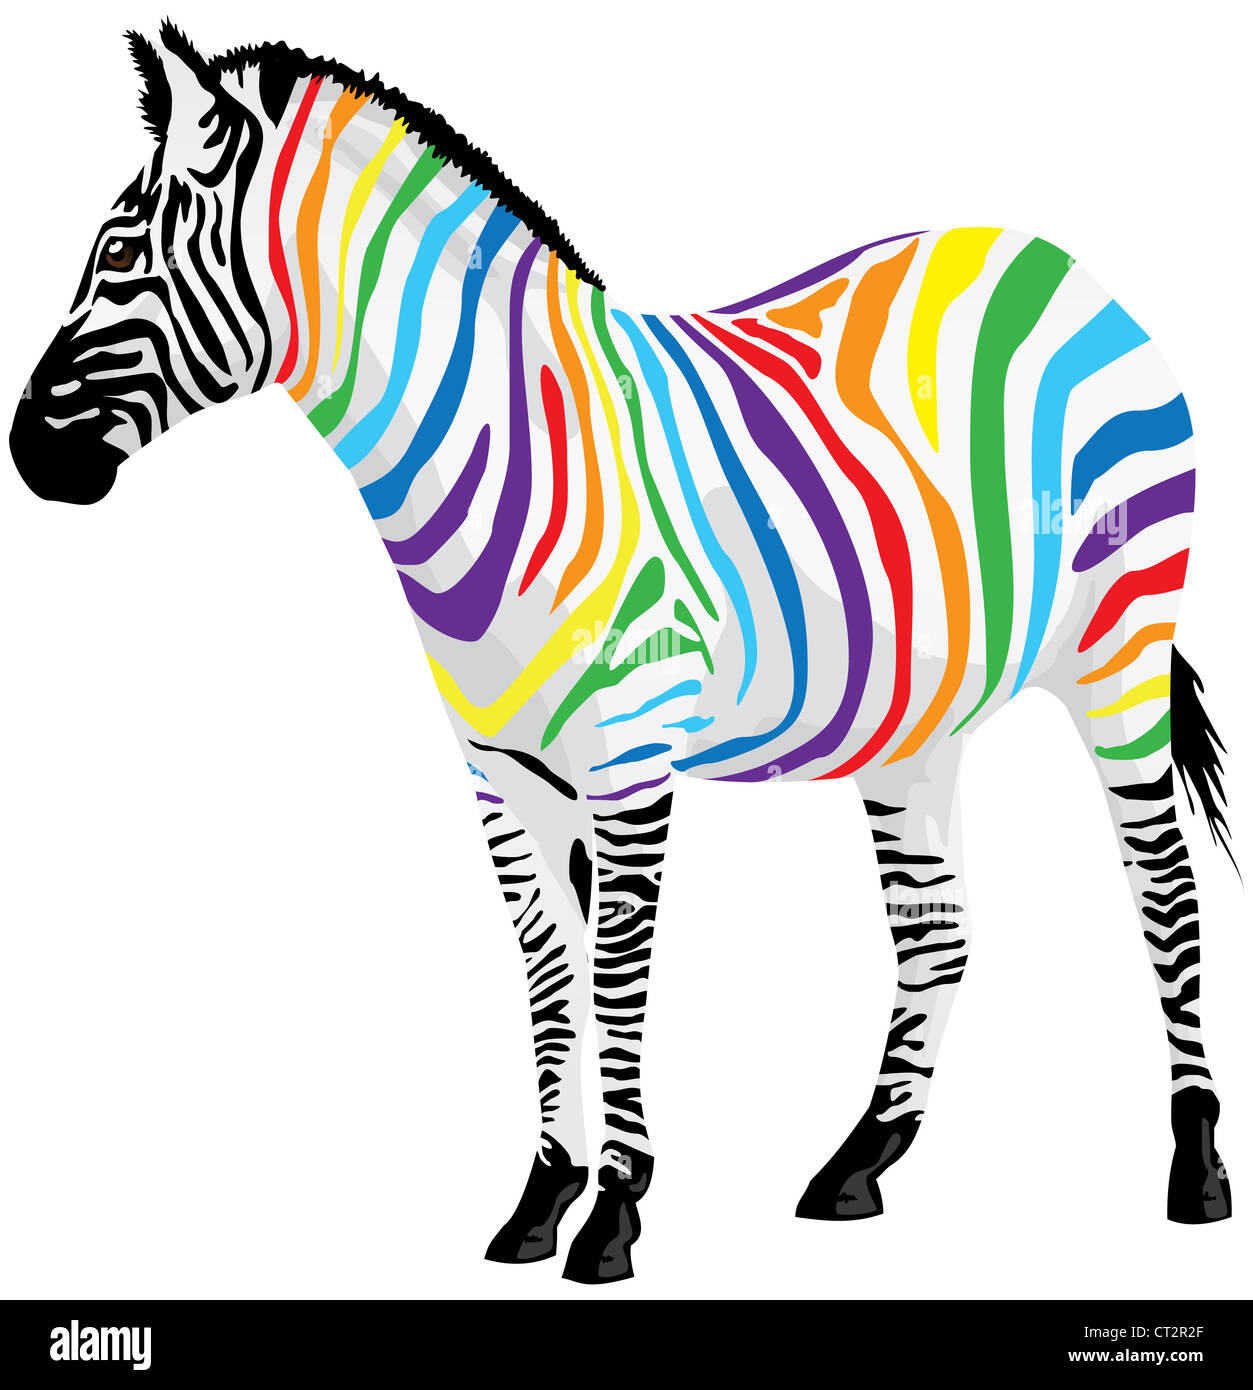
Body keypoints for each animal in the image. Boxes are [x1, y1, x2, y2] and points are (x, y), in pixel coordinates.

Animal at [10, 24, 1236, 1284]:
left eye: (116, 255)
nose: (26, 454)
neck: (506, 444)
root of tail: (1064, 261)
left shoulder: (628, 756)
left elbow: (616, 974)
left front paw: (612, 1213)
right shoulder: (498, 772)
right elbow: (549, 974)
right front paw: (540, 1198)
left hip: (1118, 654)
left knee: (1165, 889)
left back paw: (1193, 1170)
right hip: (918, 711)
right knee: (935, 927)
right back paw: (858, 1163)